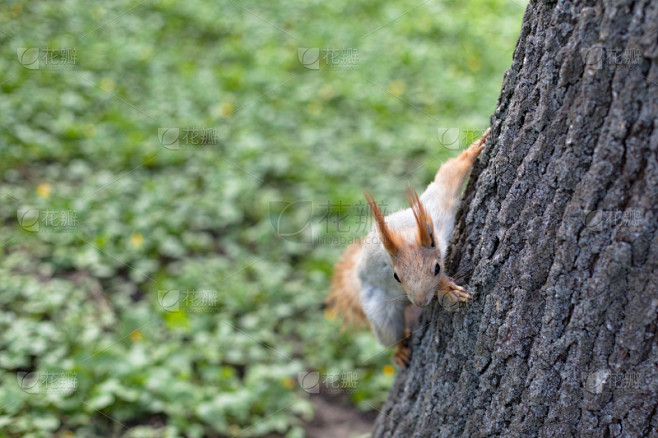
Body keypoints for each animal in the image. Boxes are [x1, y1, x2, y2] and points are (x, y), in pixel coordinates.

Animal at [326, 128, 490, 367]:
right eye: (396, 276)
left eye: (437, 268)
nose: (421, 302)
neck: (405, 233)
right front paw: (449, 290)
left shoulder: (439, 209)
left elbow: (448, 176)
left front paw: (476, 147)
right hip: (379, 309)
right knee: (389, 333)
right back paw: (399, 350)